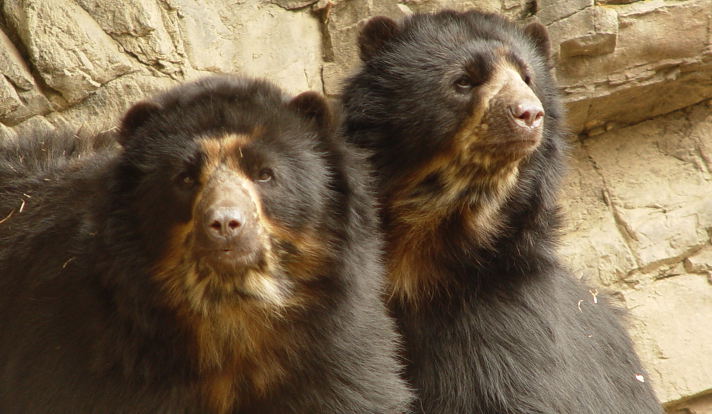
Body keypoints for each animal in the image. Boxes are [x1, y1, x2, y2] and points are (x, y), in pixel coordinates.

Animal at [0, 75, 414, 414]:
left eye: (265, 174)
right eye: (185, 178)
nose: (225, 224)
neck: (231, 314)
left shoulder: (333, 350)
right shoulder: (106, 352)